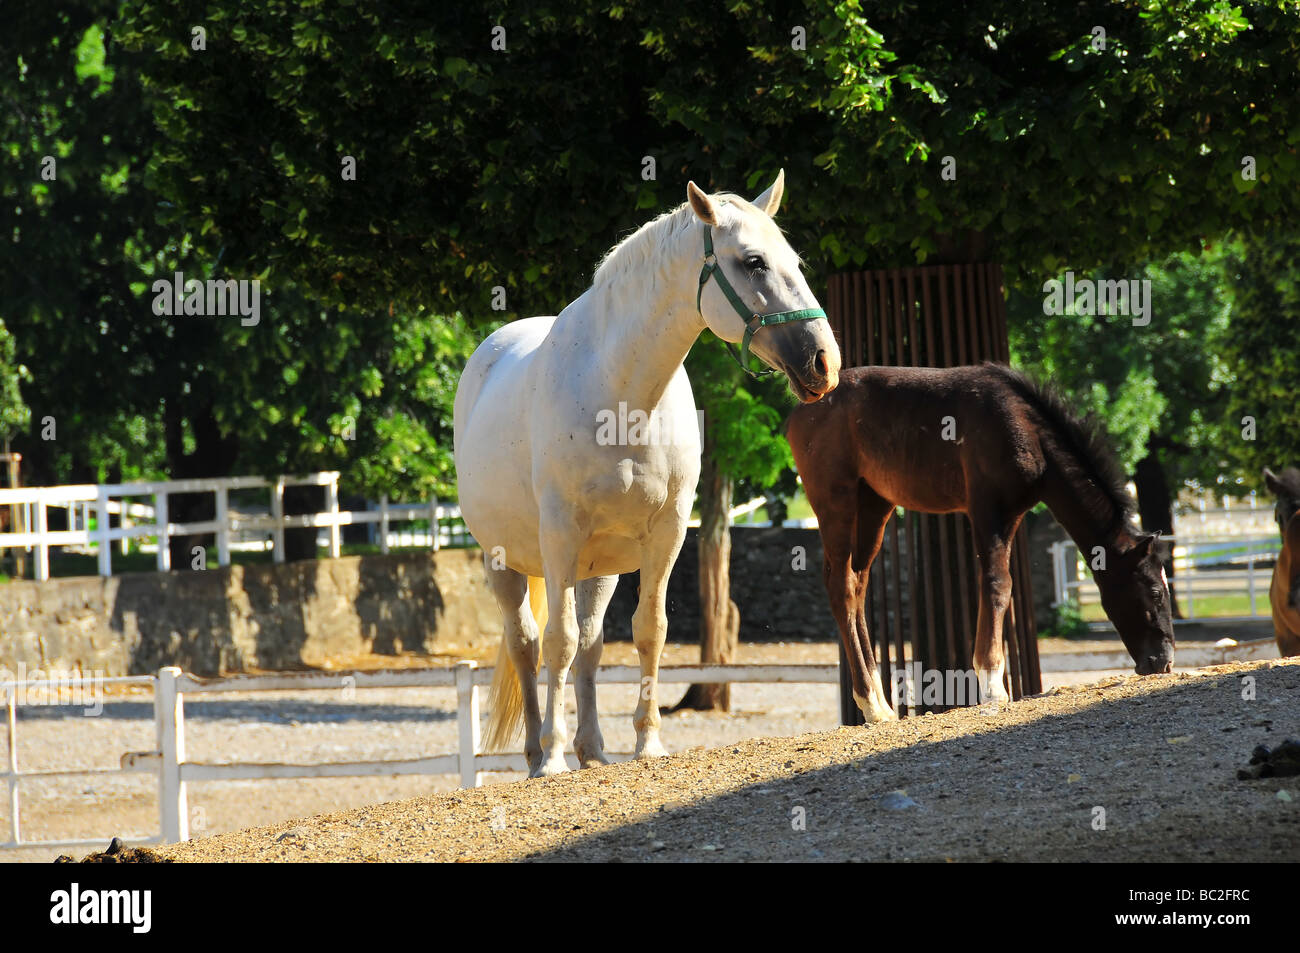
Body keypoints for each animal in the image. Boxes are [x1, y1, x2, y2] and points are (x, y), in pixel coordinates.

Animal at [453, 172, 841, 777]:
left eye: (795, 262)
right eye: (753, 262)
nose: (824, 362)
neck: (622, 394)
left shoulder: (667, 533)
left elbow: (647, 630)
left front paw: (647, 742)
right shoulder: (560, 536)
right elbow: (557, 641)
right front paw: (553, 758)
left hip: (598, 568)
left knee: (590, 645)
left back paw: (592, 750)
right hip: (506, 561)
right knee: (528, 644)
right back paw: (540, 750)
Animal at [786, 362, 1175, 722]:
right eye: (1155, 592)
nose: (1164, 660)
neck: (1026, 428)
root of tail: (799, 414)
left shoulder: (1011, 514)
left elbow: (1002, 586)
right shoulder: (987, 509)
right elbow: (997, 584)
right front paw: (991, 684)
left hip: (873, 504)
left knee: (858, 585)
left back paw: (881, 704)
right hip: (836, 501)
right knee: (842, 587)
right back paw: (870, 702)